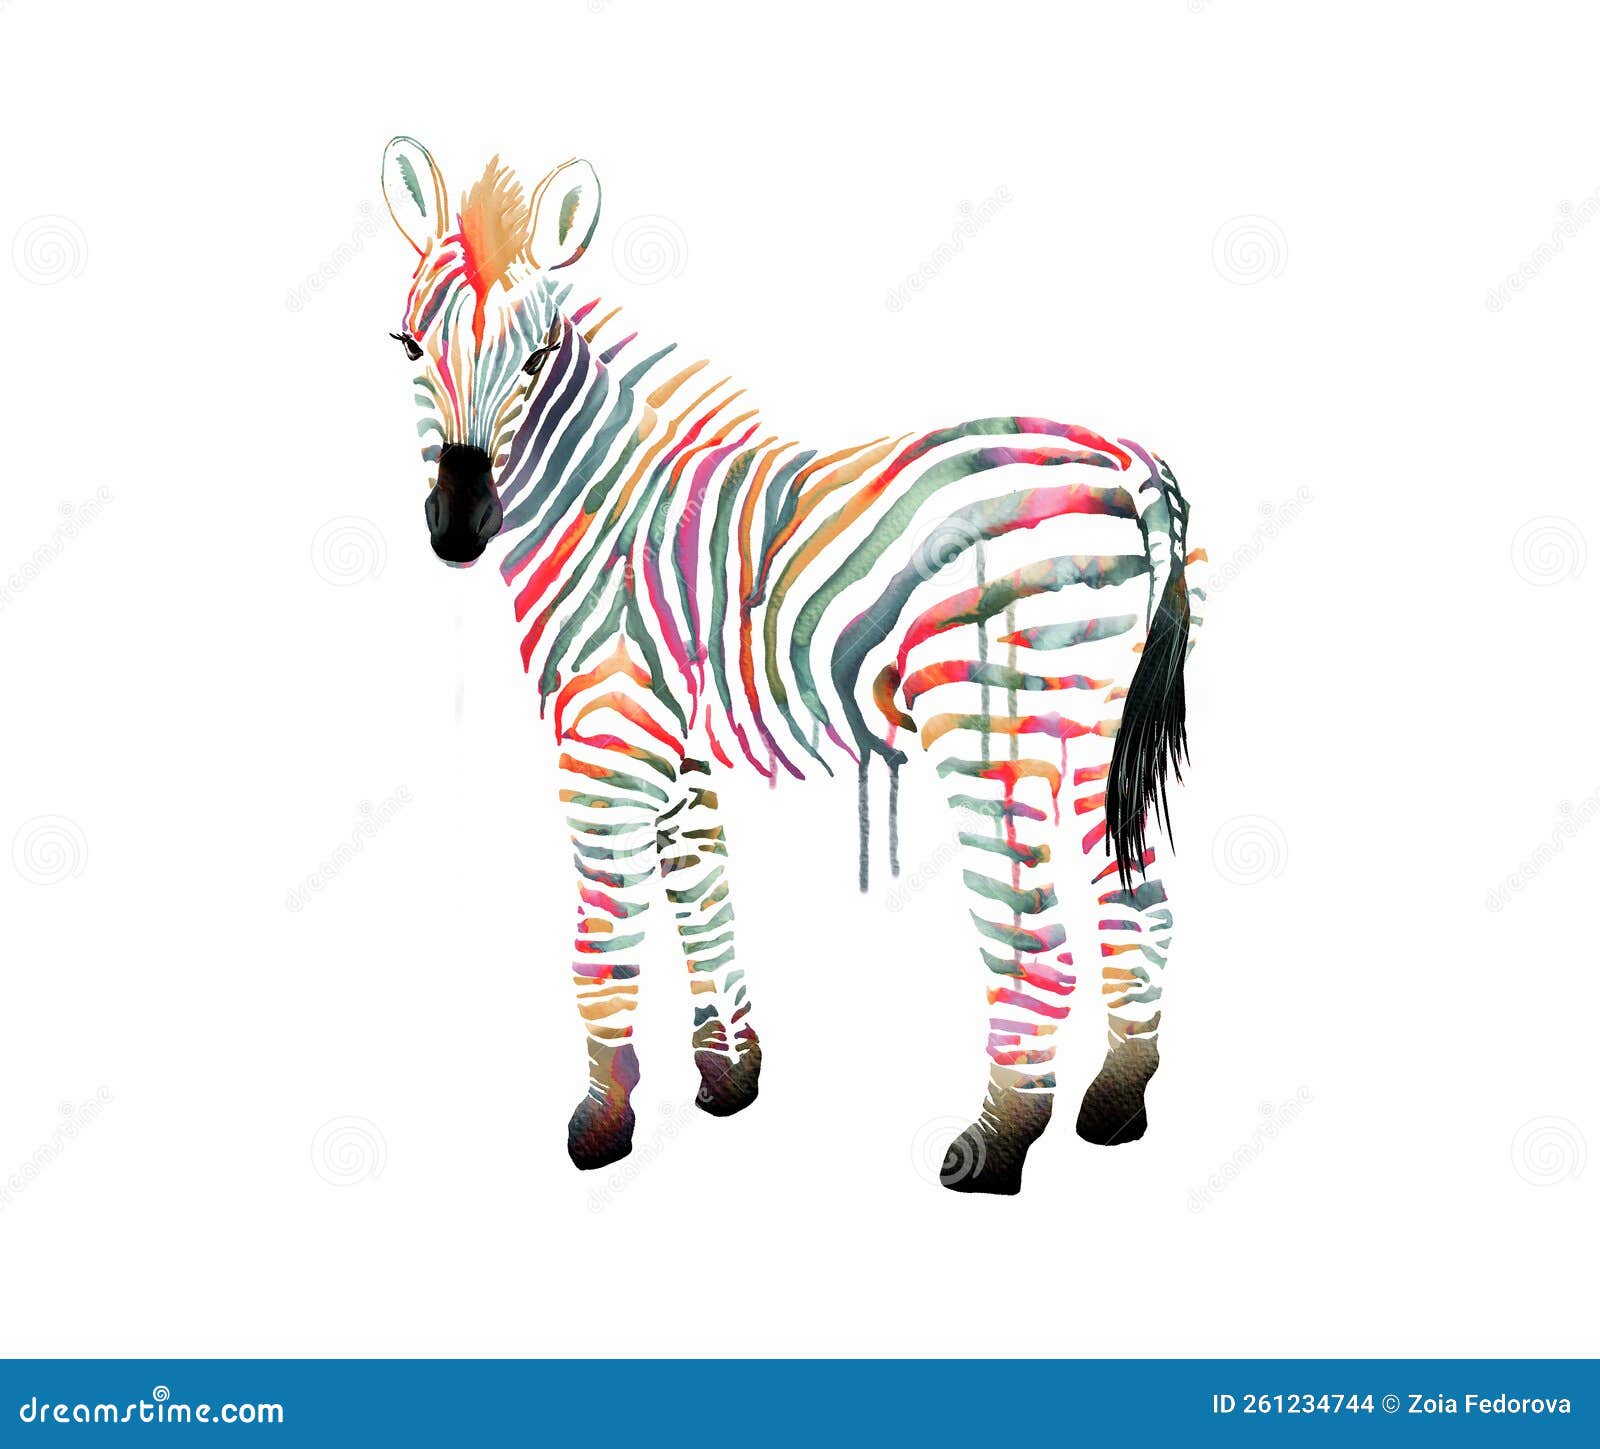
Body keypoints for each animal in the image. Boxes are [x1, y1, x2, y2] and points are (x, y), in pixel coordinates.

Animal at [378, 137, 1206, 1195]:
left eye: (534, 357)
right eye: (408, 346)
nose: (456, 527)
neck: (600, 508)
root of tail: (1128, 462)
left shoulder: (607, 740)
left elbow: (604, 936)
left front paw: (600, 1123)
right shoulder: (674, 738)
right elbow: (701, 894)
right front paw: (730, 1075)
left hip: (992, 726)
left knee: (1036, 943)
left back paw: (996, 1145)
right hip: (1095, 727)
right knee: (1140, 905)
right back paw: (1114, 1106)